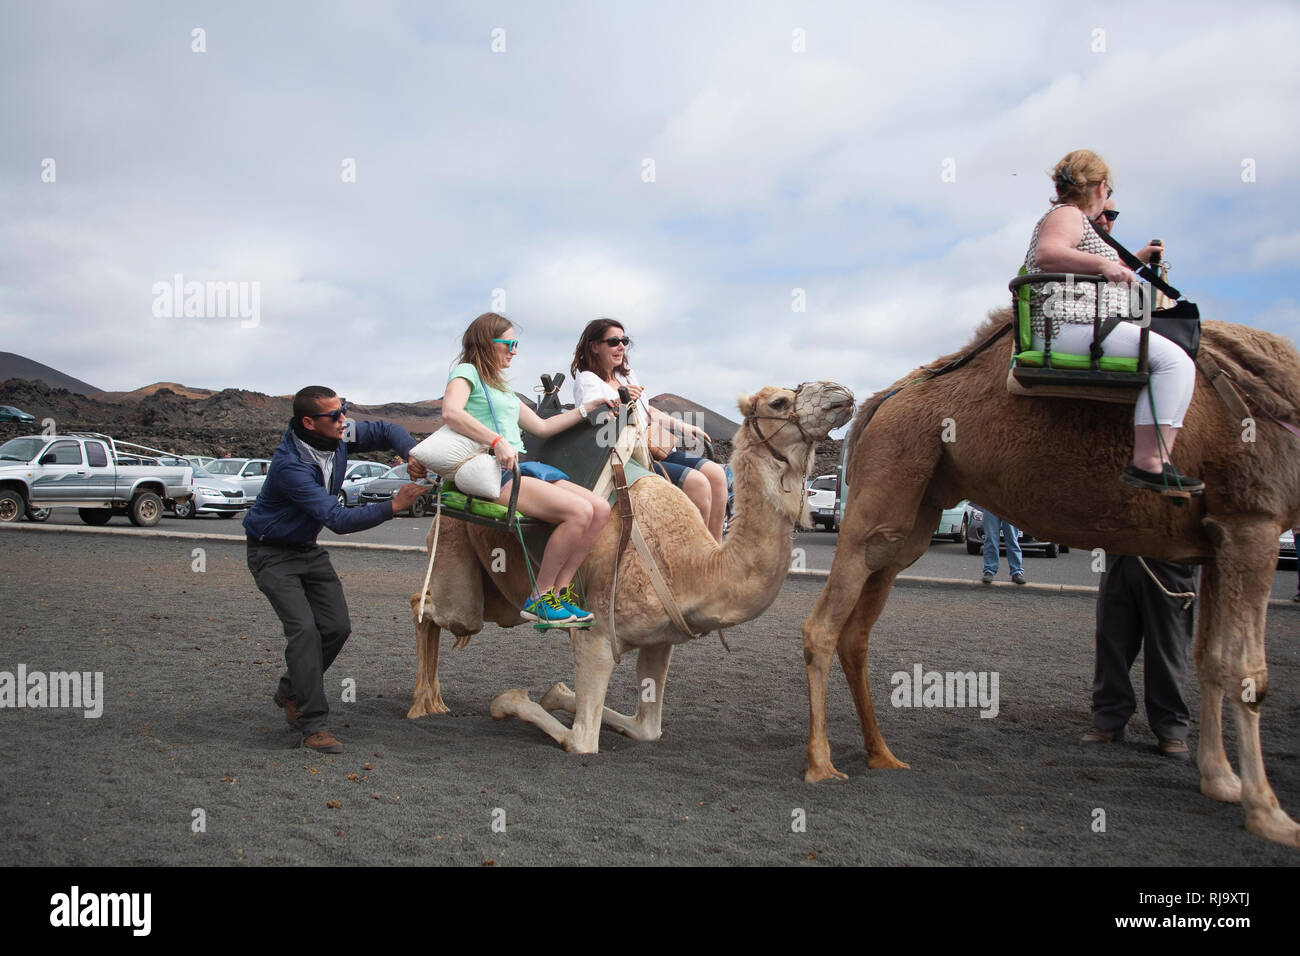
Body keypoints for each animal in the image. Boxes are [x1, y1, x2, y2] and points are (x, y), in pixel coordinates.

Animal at [407, 381, 854, 753]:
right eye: (779, 401)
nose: (842, 394)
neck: (691, 566)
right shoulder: (595, 636)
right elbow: (582, 741)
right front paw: (512, 699)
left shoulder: (661, 639)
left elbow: (647, 728)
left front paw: (558, 694)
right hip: (455, 546)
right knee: (428, 607)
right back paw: (424, 704)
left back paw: (430, 700)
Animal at [800, 313, 1300, 846]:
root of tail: (884, 400)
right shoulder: (1252, 520)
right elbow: (1248, 671)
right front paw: (1269, 813)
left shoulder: (1218, 540)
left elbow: (1209, 659)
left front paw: (1222, 781)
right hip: (889, 488)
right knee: (821, 626)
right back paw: (821, 765)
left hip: (911, 512)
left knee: (856, 629)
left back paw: (883, 755)